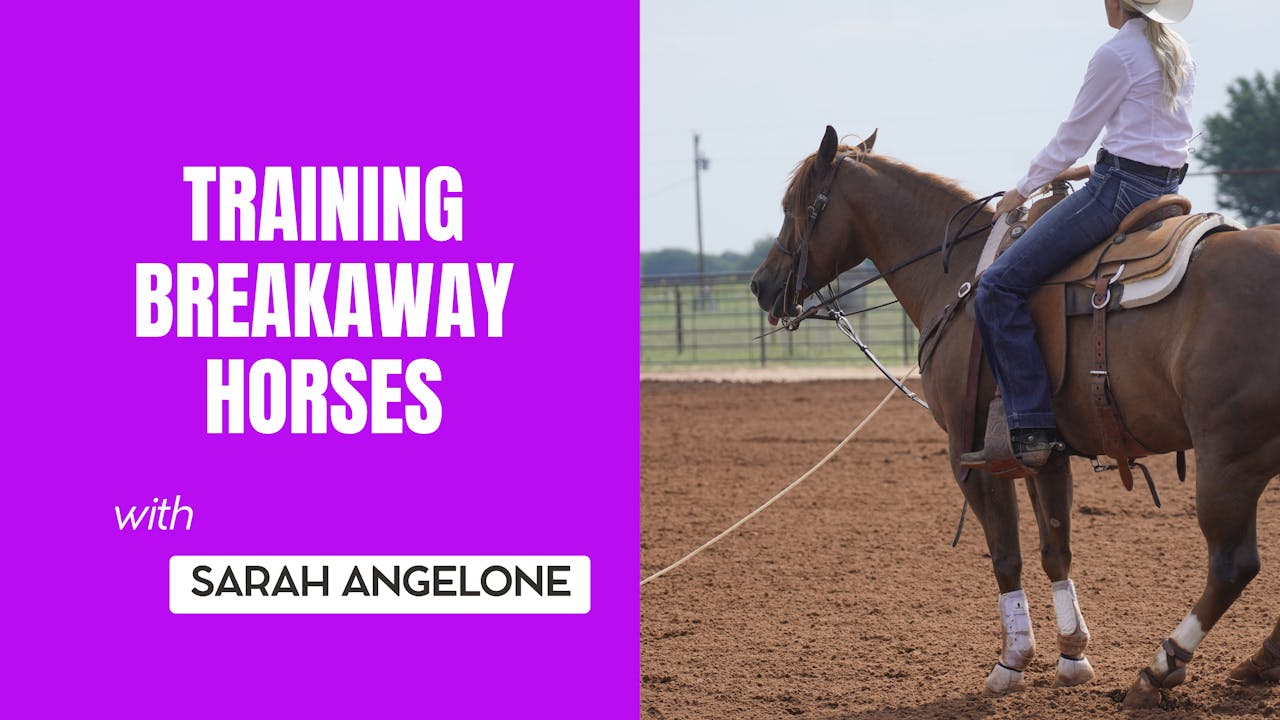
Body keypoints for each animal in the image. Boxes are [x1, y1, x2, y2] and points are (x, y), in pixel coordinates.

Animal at [750, 126, 1280, 707]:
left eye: (792, 206)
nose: (760, 284)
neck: (960, 276)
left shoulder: (971, 452)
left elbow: (1006, 553)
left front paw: (1013, 661)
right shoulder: (1043, 452)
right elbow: (1055, 549)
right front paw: (1072, 656)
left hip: (1229, 458)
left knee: (1232, 564)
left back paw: (1160, 669)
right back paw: (1259, 662)